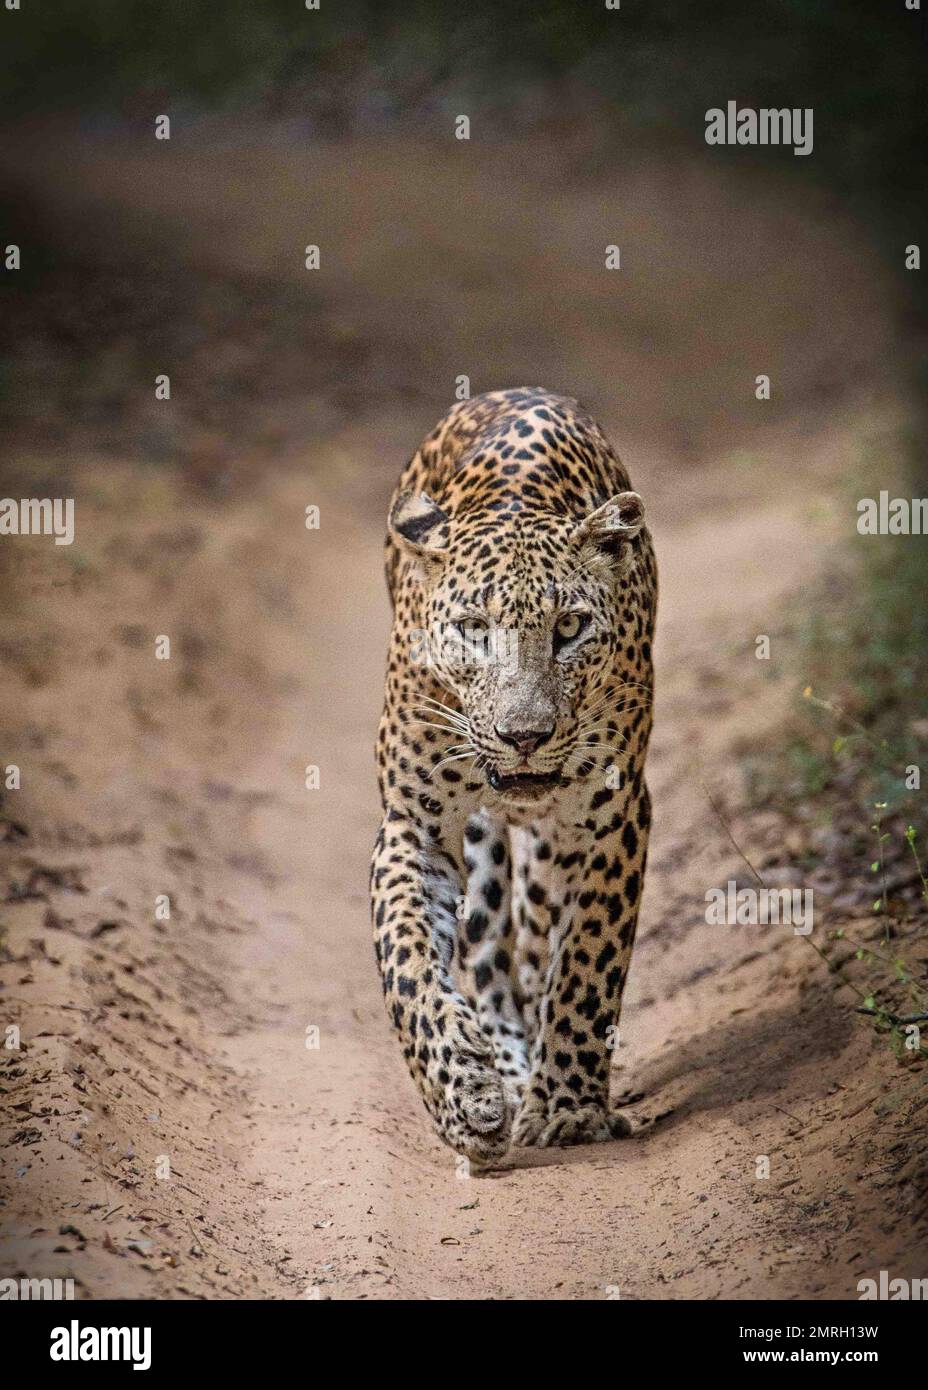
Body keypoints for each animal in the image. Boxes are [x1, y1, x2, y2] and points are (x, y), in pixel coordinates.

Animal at [372, 387, 656, 1162]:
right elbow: (405, 959)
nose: (524, 736)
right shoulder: (413, 825)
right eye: (474, 629)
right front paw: (462, 1089)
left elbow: (587, 960)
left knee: (536, 938)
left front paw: (569, 1106)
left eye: (570, 628)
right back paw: (501, 1067)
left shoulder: (616, 814)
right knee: (490, 954)